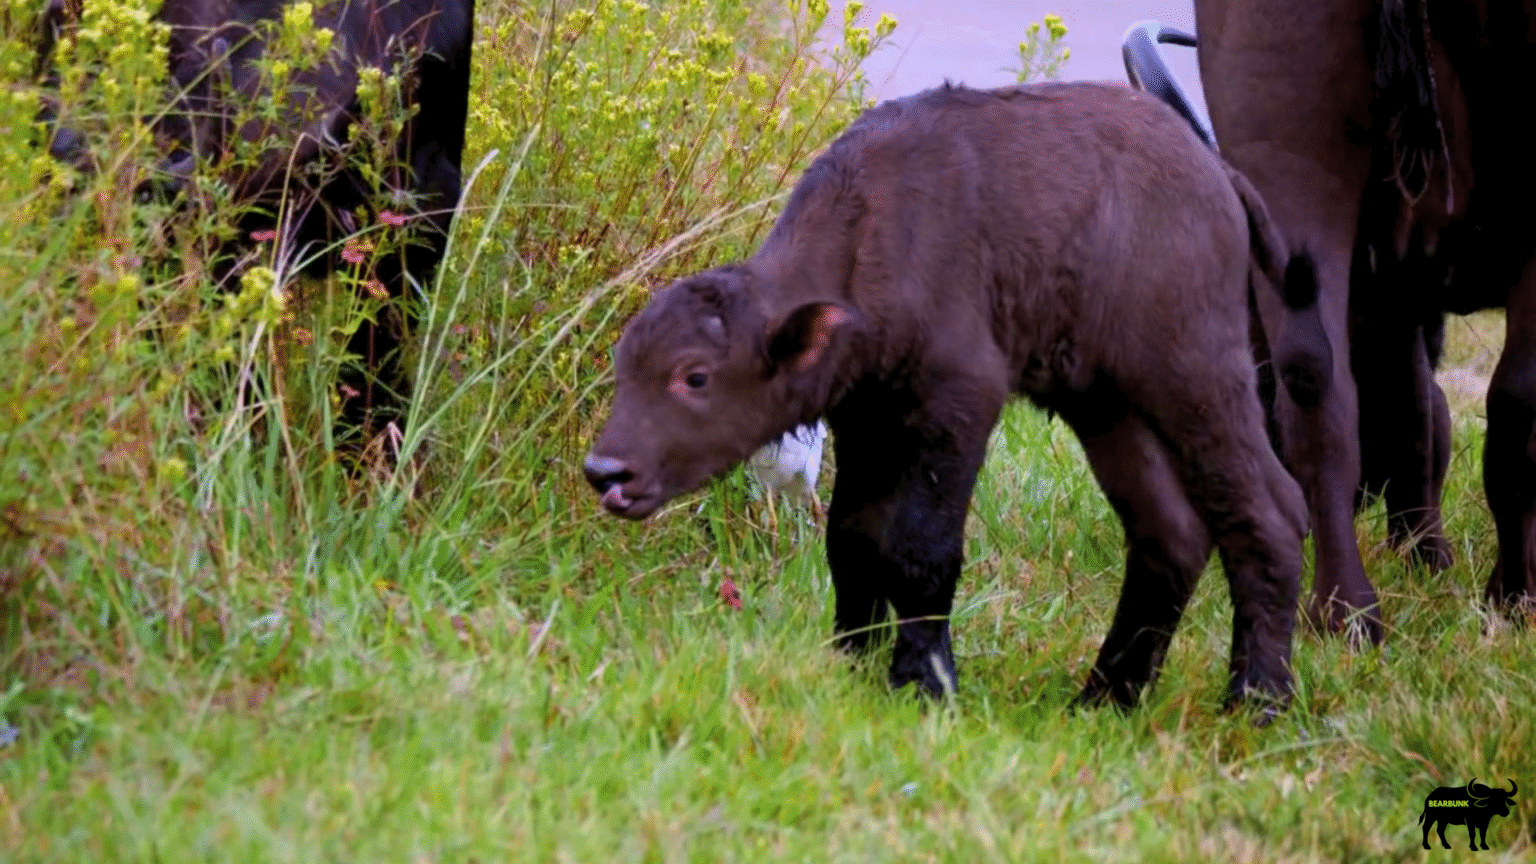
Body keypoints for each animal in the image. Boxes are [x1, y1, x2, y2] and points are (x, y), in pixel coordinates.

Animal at [585, 81, 1311, 711]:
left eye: (695, 376)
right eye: (624, 366)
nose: (606, 472)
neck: (870, 236)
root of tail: (1219, 174)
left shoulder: (957, 405)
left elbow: (920, 550)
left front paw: (924, 683)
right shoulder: (866, 418)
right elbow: (852, 539)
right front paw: (850, 663)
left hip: (1196, 375)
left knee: (1271, 511)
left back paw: (1255, 703)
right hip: (1108, 406)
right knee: (1170, 531)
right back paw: (1106, 698)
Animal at [1190, 0, 1536, 641]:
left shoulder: (1394, 279)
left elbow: (1413, 414)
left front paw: (1426, 559)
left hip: (1284, 120)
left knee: (1314, 382)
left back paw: (1344, 610)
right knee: (1516, 403)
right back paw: (1514, 596)